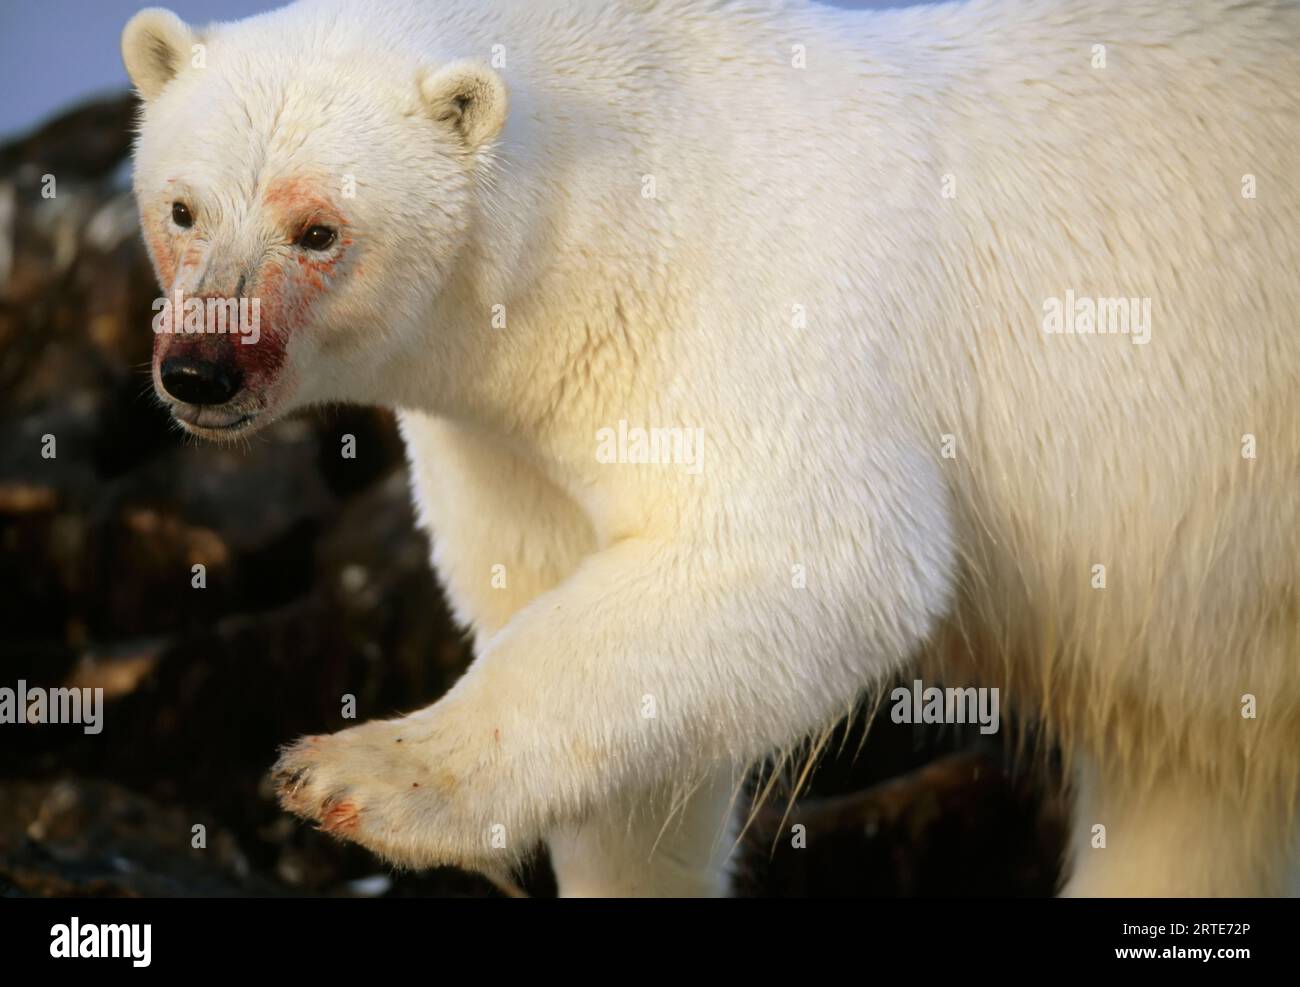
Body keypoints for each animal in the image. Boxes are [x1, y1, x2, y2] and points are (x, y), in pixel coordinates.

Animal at [121, 0, 1300, 896]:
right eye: (182, 208)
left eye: (318, 228)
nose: (201, 370)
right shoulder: (510, 438)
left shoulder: (753, 314)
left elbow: (808, 557)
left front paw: (362, 775)